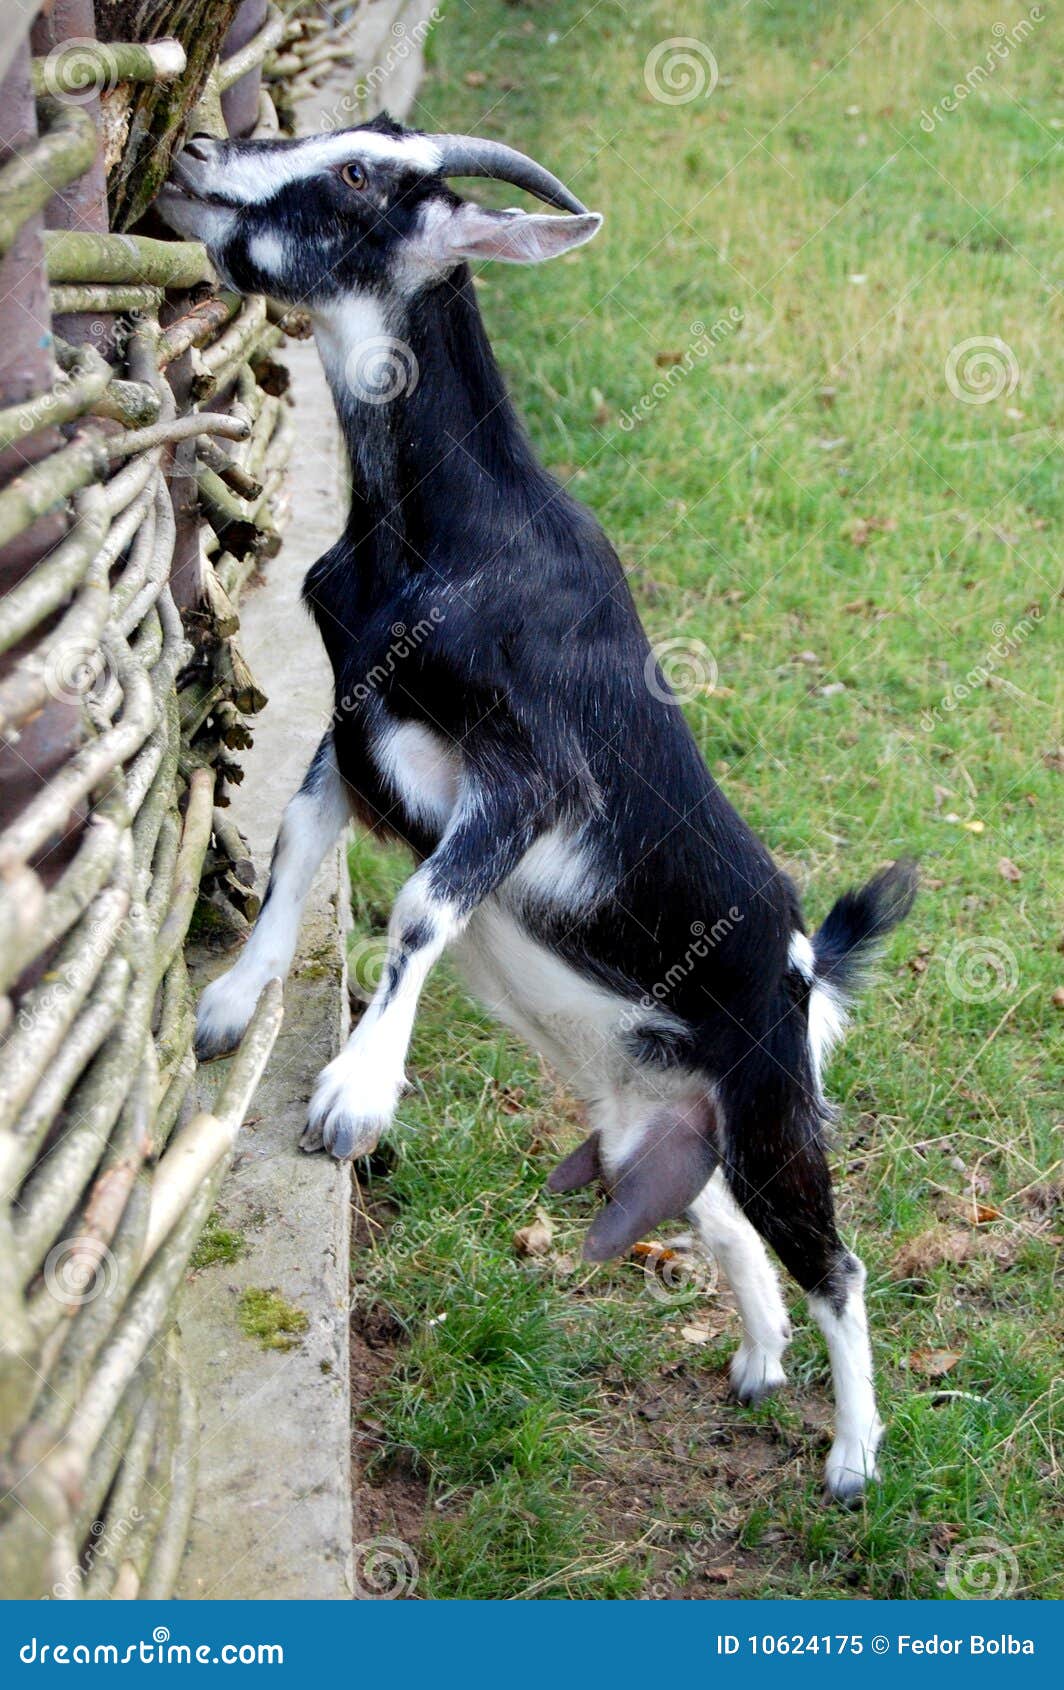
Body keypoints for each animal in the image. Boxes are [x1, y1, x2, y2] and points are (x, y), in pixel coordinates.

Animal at [160, 115, 916, 1501]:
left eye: (358, 173)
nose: (193, 145)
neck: (443, 537)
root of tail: (803, 964)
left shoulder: (526, 781)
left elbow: (418, 908)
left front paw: (352, 1098)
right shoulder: (351, 736)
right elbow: (297, 852)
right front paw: (232, 1005)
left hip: (771, 1107)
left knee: (833, 1259)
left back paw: (849, 1457)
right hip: (644, 1110)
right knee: (710, 1212)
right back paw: (756, 1360)